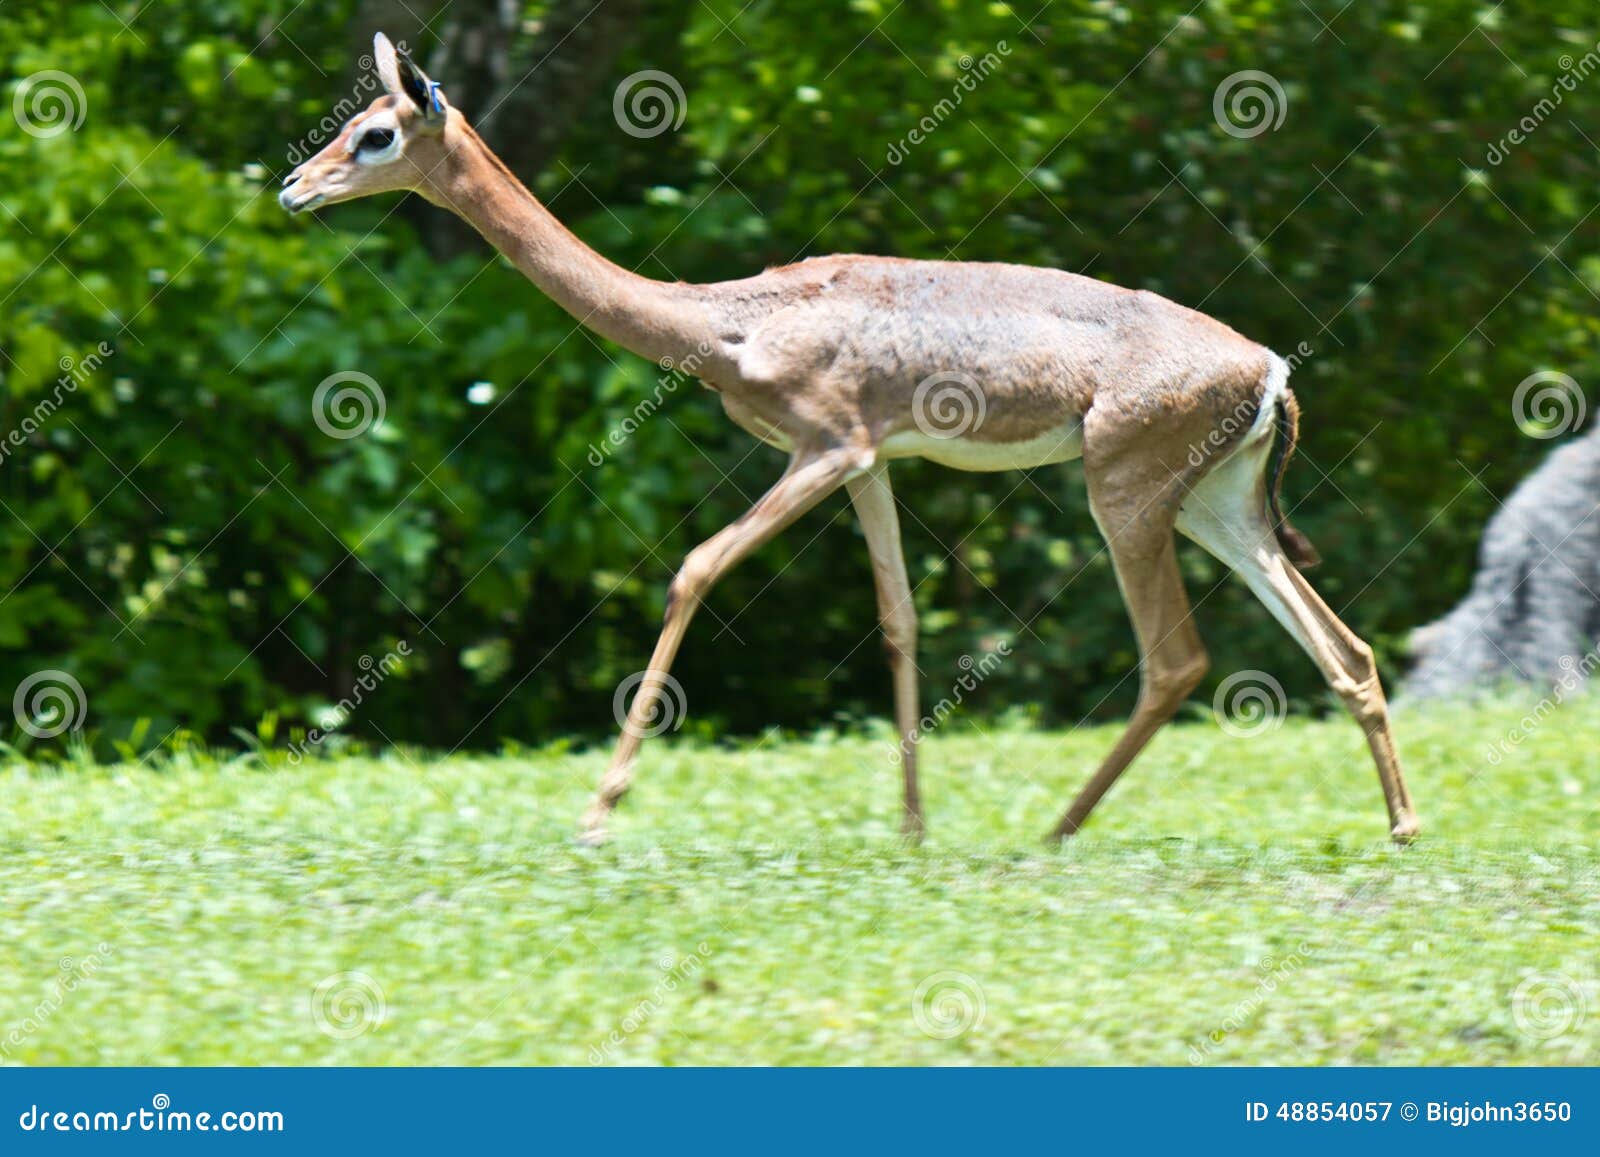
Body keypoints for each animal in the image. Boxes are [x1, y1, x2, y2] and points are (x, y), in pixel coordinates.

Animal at [280, 34, 1420, 846]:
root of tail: (1270, 367)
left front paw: (597, 812)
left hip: (1125, 494)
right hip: (1217, 505)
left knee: (1177, 660)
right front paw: (911, 824)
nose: (294, 186)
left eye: (378, 133)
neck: (727, 322)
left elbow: (695, 566)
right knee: (1347, 649)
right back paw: (1401, 826)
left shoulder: (823, 448)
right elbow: (899, 617)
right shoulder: (875, 461)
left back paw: (1055, 829)